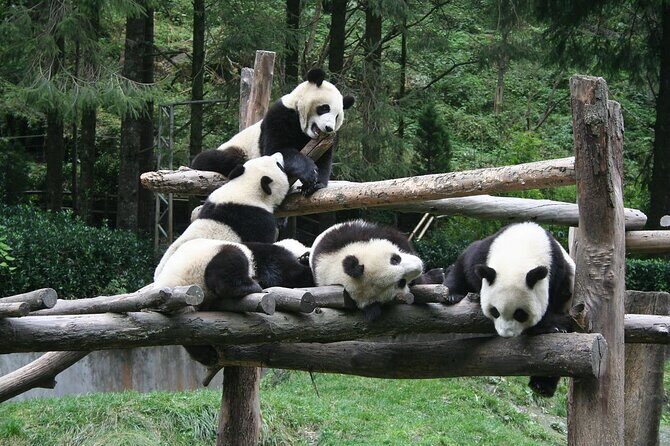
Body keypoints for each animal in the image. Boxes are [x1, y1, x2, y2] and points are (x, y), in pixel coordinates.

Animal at [155, 237, 314, 366]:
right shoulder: (272, 258)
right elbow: (292, 275)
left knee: (190, 336)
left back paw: (207, 355)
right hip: (204, 260)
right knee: (228, 266)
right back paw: (250, 287)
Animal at [192, 68, 355, 195]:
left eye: (337, 116)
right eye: (324, 108)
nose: (329, 128)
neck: (303, 128)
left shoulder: (326, 141)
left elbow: (323, 159)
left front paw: (315, 184)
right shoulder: (279, 115)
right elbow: (276, 149)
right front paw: (309, 172)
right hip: (240, 148)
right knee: (214, 158)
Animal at [444, 221, 575, 397]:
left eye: (520, 314)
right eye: (494, 311)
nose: (505, 334)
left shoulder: (559, 274)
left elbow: (554, 304)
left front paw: (551, 326)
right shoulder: (485, 251)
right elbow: (464, 264)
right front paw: (452, 295)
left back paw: (541, 386)